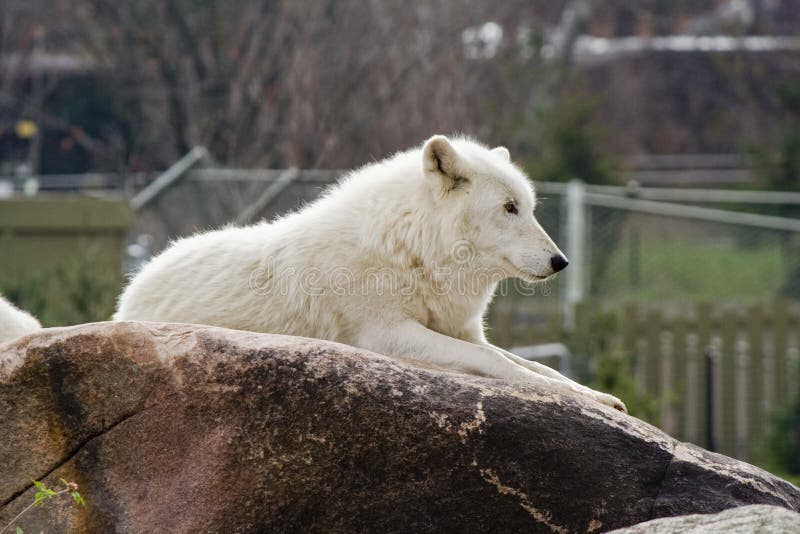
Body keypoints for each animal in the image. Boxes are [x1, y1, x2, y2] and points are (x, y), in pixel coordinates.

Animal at [115, 135, 626, 411]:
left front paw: (598, 398)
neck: (413, 249)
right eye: (510, 208)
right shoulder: (387, 335)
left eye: (530, 207)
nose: (561, 261)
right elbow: (500, 364)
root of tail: (126, 299)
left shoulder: (462, 331)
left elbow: (537, 365)